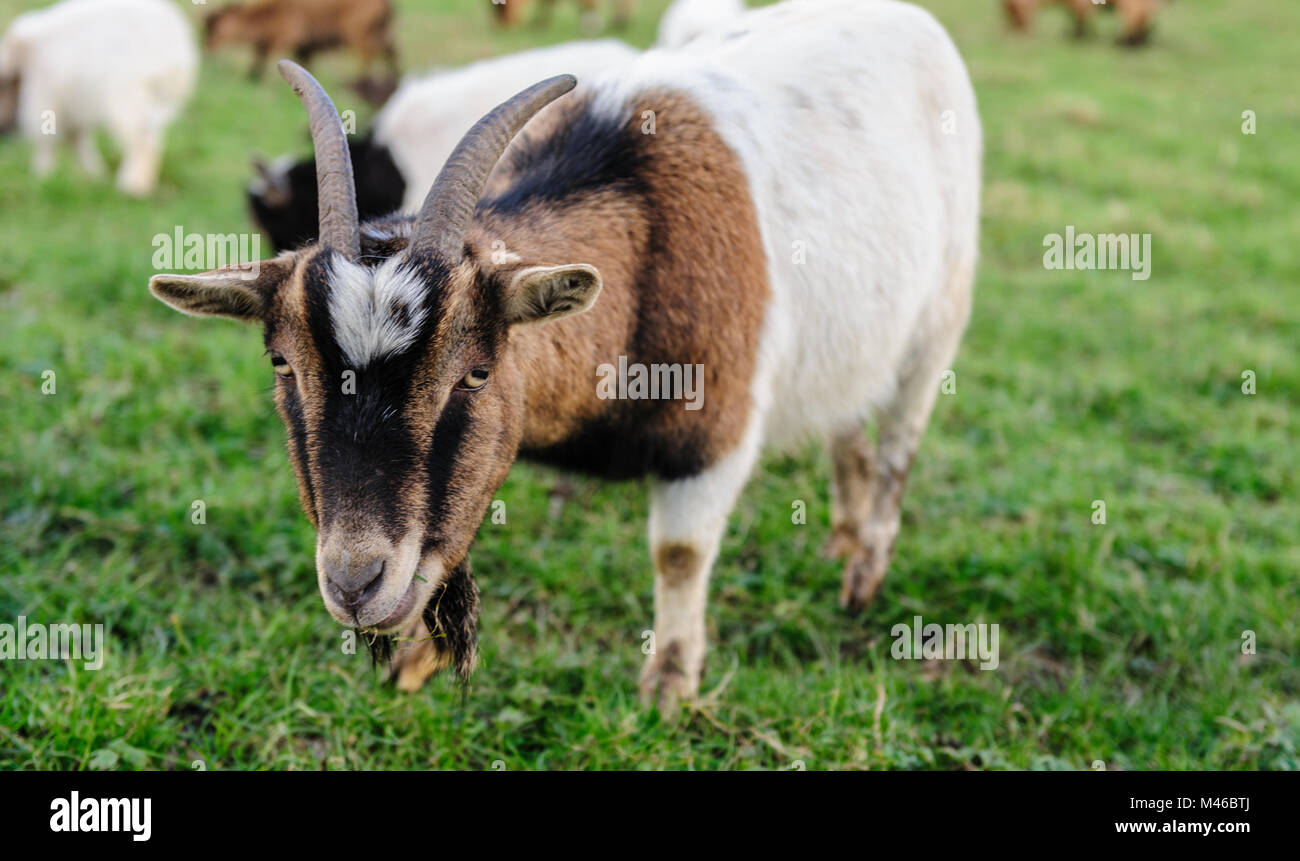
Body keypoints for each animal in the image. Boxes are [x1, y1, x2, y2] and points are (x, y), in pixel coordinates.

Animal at [0, 0, 196, 196]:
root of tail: (176, 56)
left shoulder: (44, 98)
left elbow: (47, 142)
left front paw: (43, 175)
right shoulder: (73, 106)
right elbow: (77, 139)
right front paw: (91, 174)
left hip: (127, 96)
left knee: (142, 142)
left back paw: (131, 186)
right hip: (157, 103)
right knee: (153, 139)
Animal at [205, 0, 397, 81]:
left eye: (217, 33)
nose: (208, 50)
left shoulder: (290, 37)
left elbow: (268, 56)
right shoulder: (305, 48)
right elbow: (260, 57)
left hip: (359, 34)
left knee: (368, 55)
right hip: (382, 33)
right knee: (390, 53)